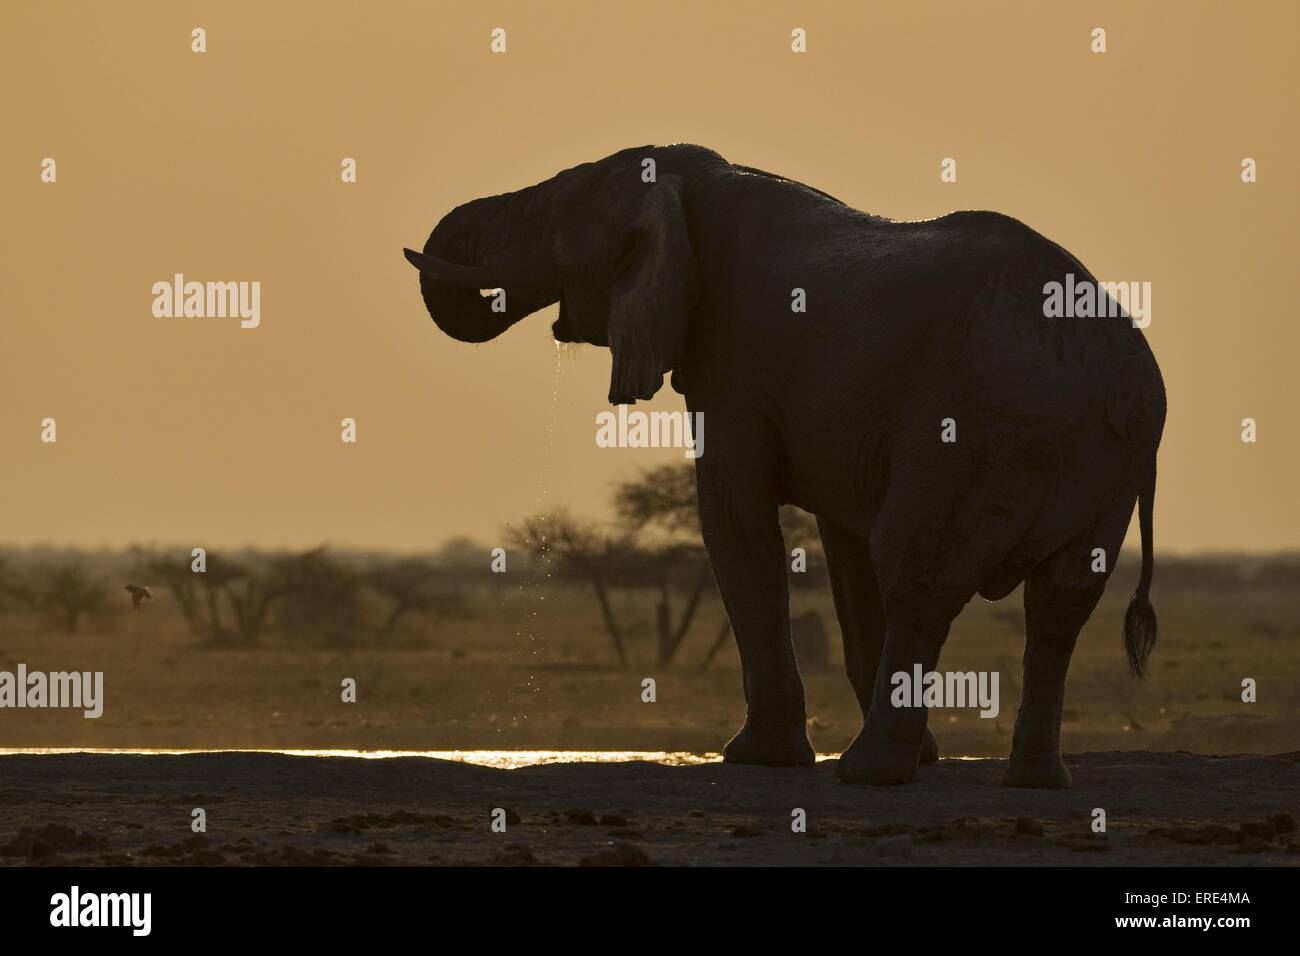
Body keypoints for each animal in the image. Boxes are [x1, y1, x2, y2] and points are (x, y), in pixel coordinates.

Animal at [403, 144, 1166, 788]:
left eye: (552, 218)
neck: (688, 178)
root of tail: (1125, 383)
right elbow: (846, 553)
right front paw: (920, 756)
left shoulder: (733, 362)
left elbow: (735, 521)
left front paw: (756, 759)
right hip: (1095, 470)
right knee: (1060, 603)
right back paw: (1033, 781)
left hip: (979, 431)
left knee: (917, 575)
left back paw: (869, 774)